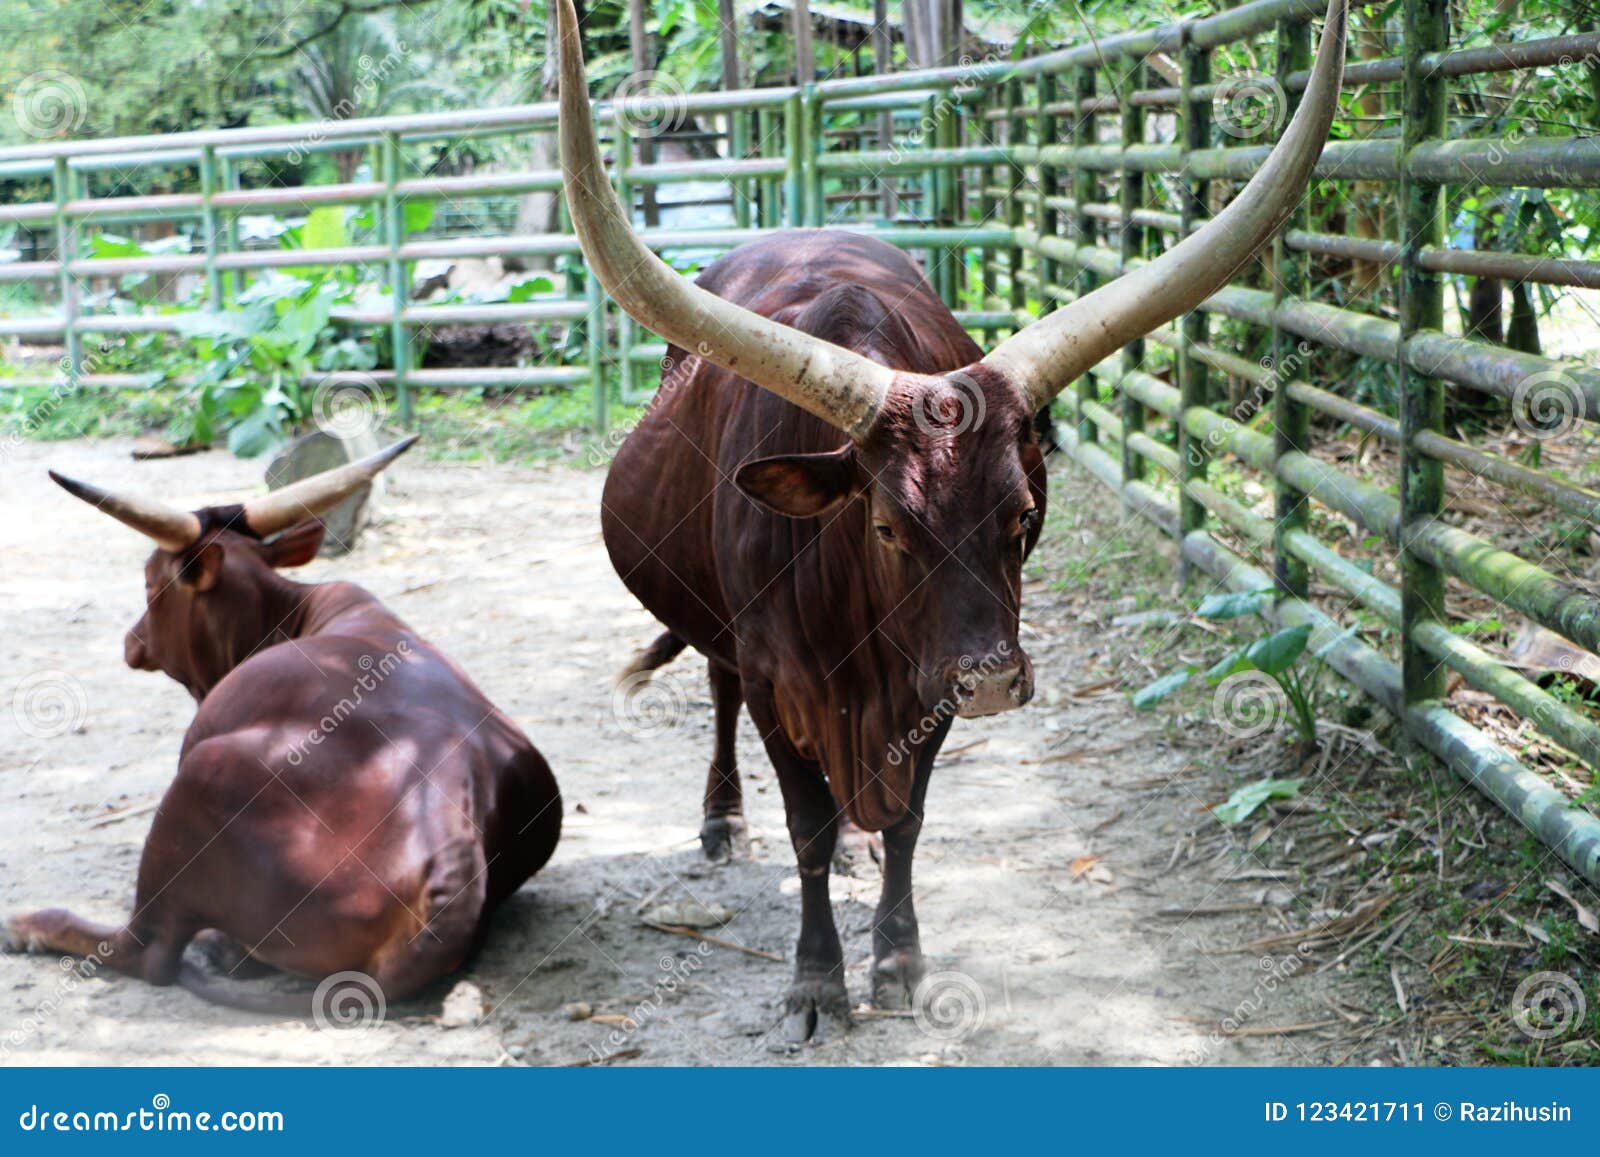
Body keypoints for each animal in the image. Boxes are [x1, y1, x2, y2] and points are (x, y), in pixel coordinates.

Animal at [3, 438, 562, 1017]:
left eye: (150, 581)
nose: (131, 640)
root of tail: (453, 870)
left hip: (203, 773)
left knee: (148, 952)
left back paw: (32, 926)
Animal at [558, 0, 1346, 1040]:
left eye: (1022, 516)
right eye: (890, 527)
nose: (995, 680)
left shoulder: (925, 682)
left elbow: (906, 819)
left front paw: (897, 956)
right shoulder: (778, 679)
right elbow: (805, 823)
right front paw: (817, 979)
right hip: (722, 632)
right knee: (719, 693)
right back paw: (722, 818)